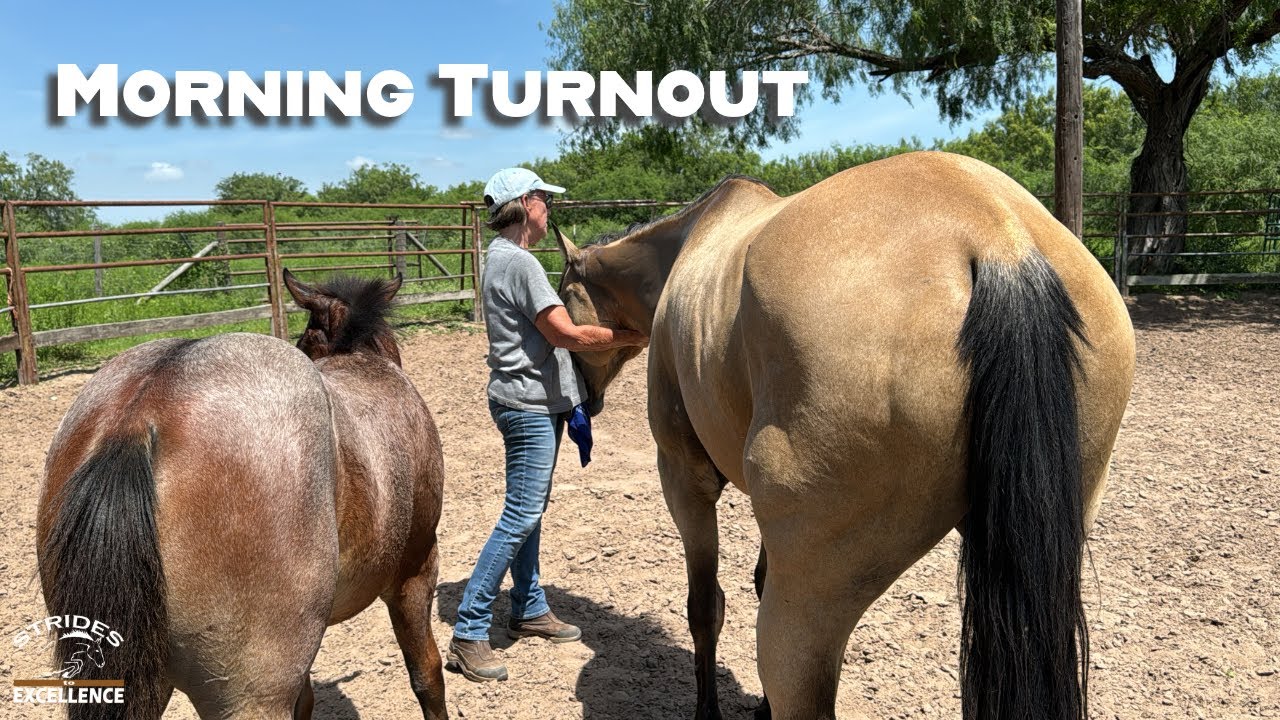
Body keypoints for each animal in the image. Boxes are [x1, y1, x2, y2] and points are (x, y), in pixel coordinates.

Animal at [550, 151, 1136, 720]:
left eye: (563, 296)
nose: (579, 397)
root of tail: (998, 240)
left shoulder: (685, 479)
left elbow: (704, 607)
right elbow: (756, 580)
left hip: (811, 599)